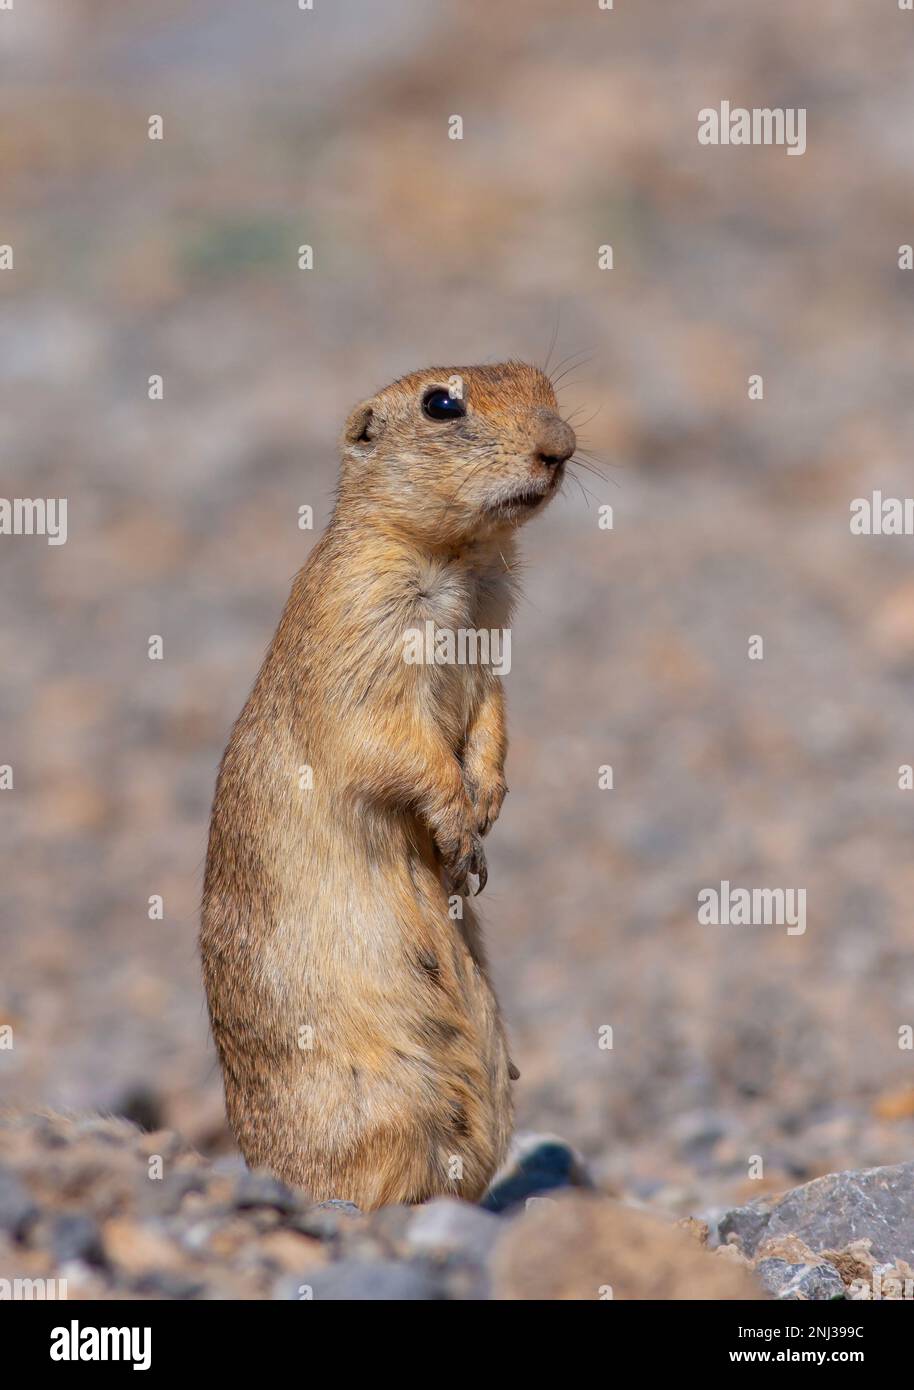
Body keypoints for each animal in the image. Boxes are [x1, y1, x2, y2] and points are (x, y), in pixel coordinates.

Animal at [200, 362, 575, 1209]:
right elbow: (392, 741)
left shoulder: (491, 651)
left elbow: (493, 719)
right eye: (442, 403)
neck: (462, 562)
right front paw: (460, 830)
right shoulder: (362, 626)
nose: (562, 446)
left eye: (545, 383)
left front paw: (488, 804)